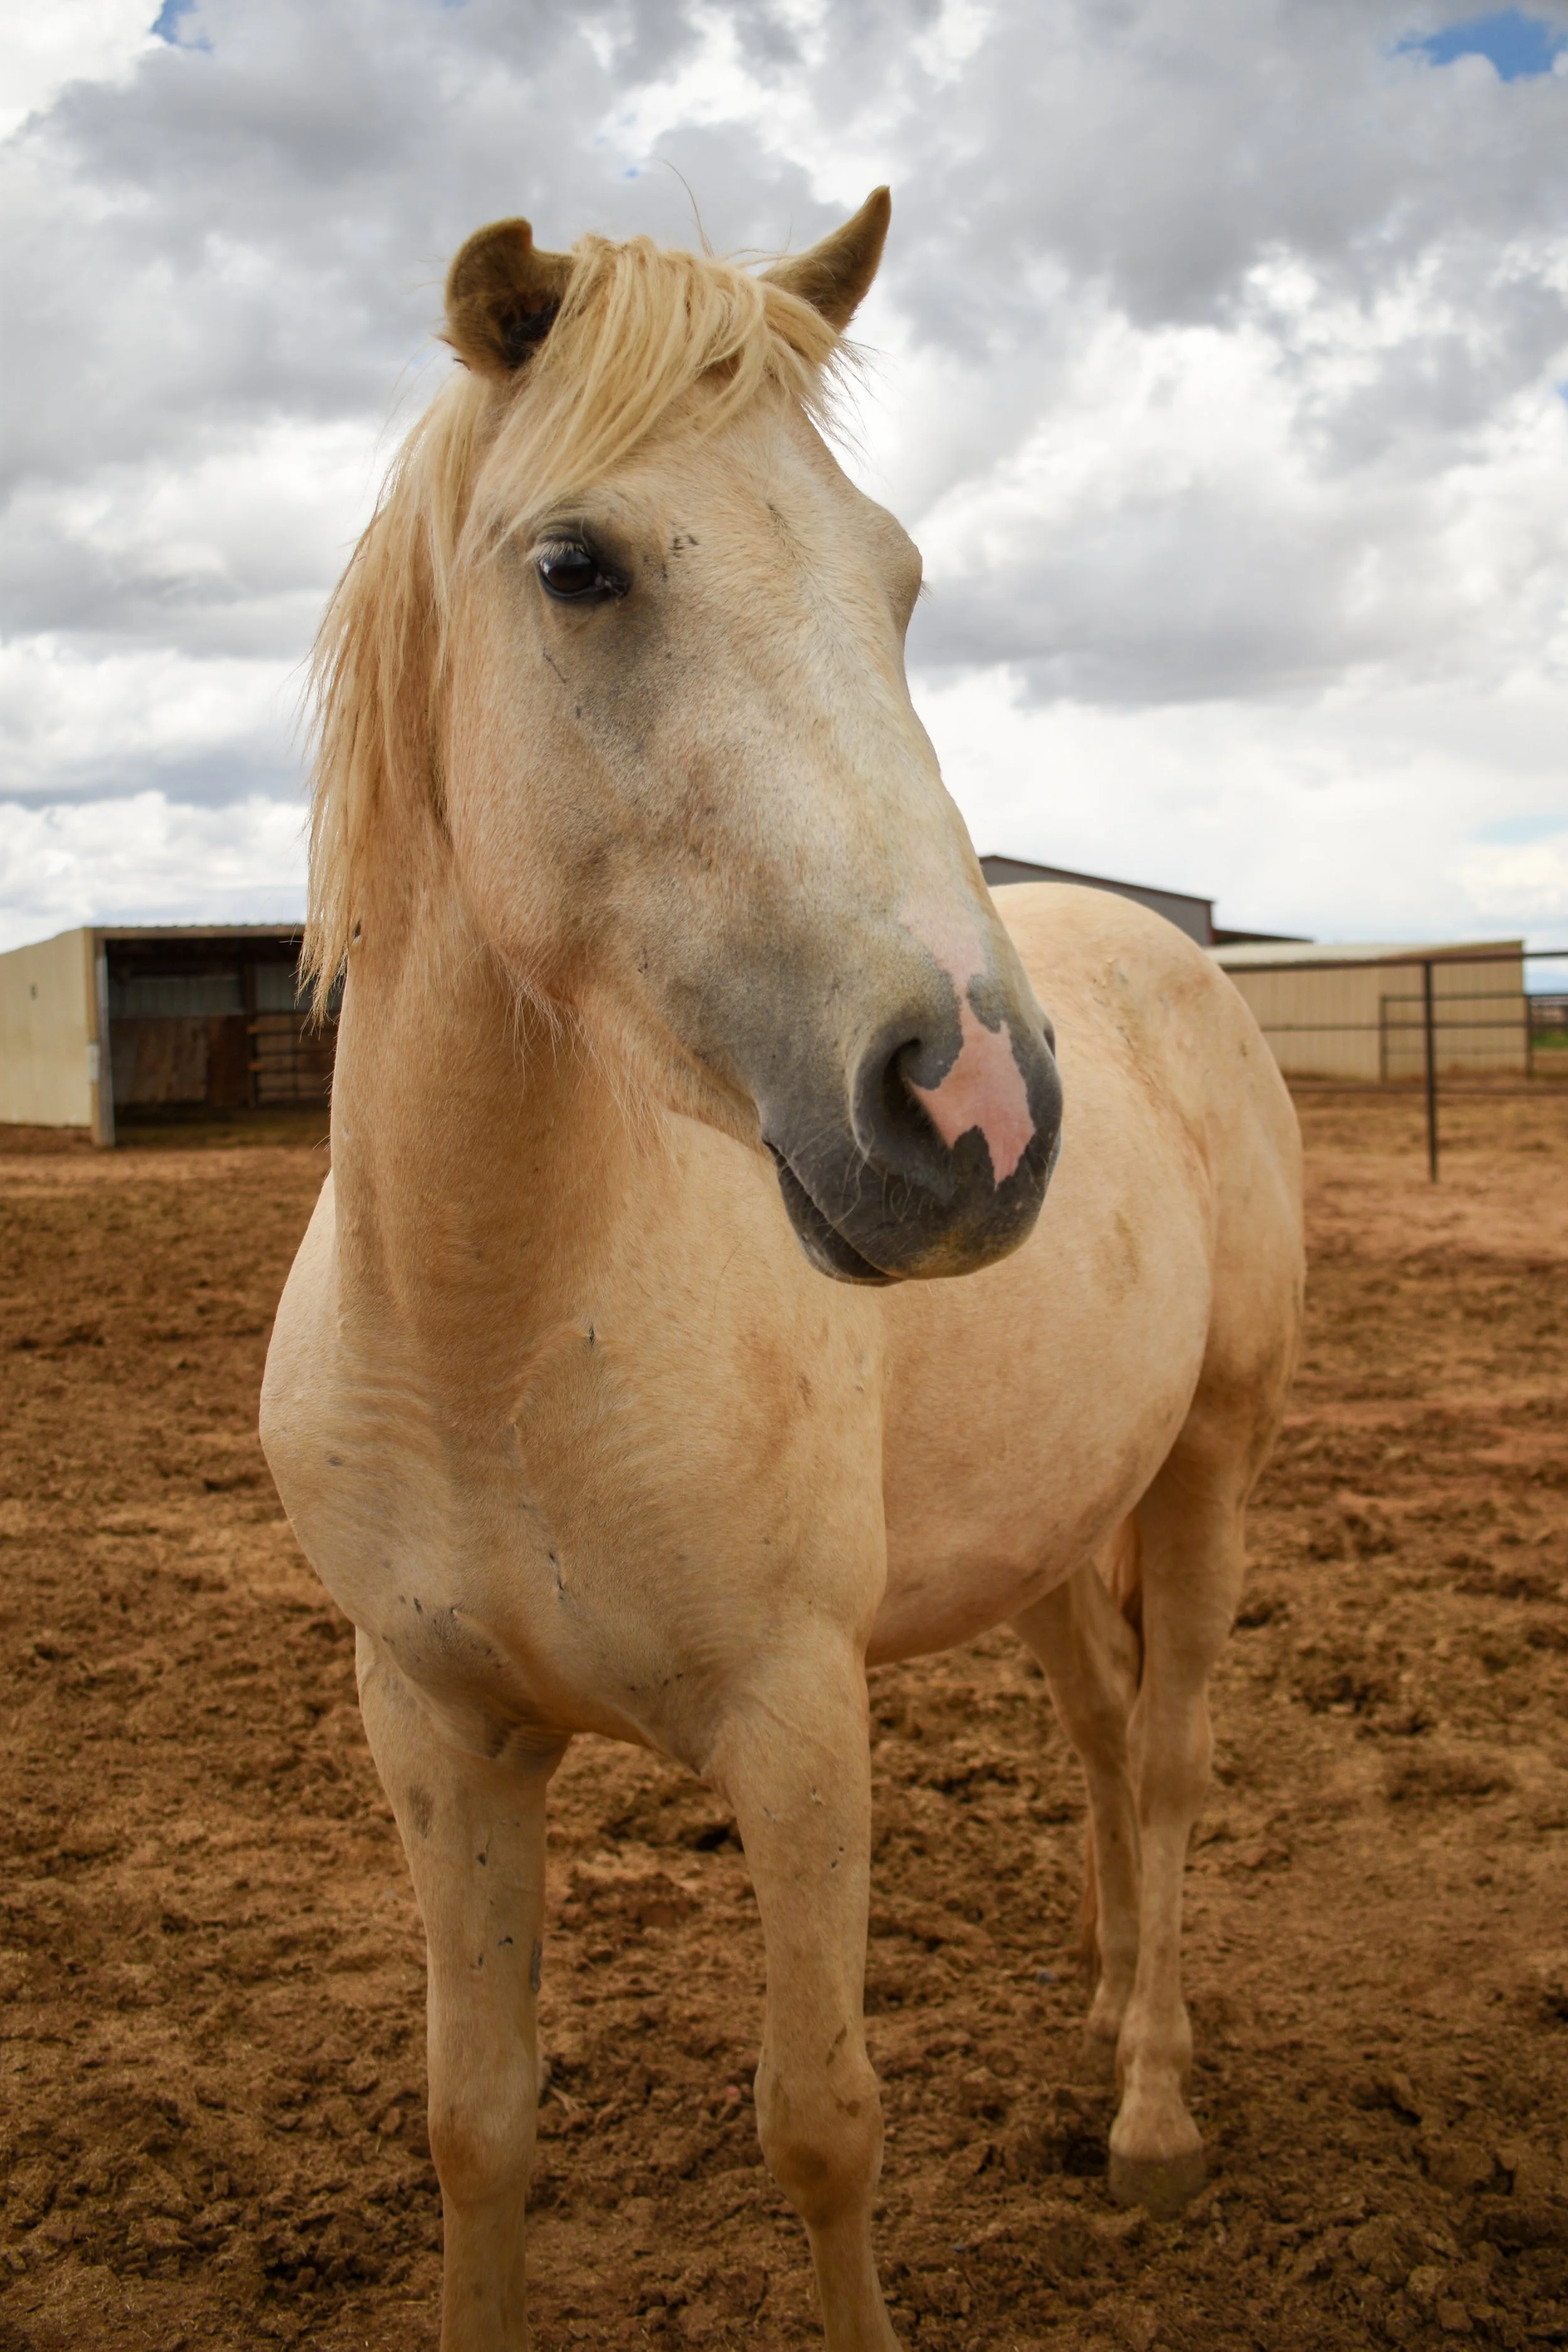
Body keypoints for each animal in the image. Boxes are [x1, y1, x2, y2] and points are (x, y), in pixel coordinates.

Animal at [260, 188, 1303, 2352]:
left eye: (896, 582)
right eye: (576, 566)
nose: (974, 1098)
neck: (498, 1332)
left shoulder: (796, 1721)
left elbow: (818, 2123)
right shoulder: (432, 1725)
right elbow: (475, 2125)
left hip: (1206, 1465)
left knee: (1167, 1759)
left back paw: (1149, 2101)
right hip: (1048, 1516)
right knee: (1100, 1731)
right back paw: (1098, 2001)